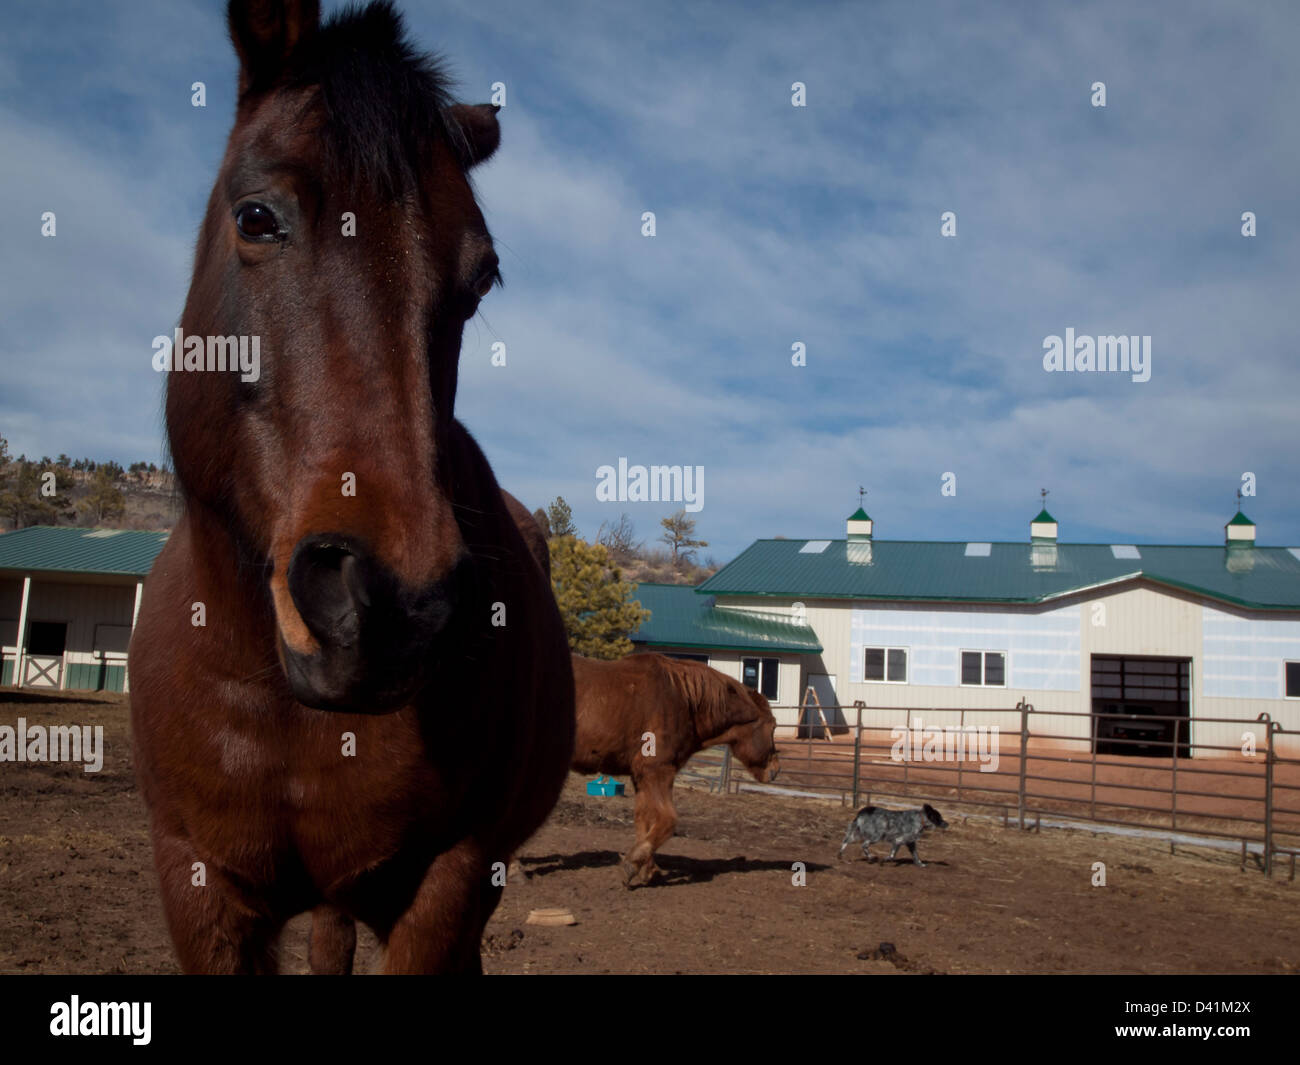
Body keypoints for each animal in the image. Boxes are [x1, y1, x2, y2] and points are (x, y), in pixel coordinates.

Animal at [570, 653, 781, 886]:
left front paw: (647, 869)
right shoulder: (658, 772)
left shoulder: (642, 777)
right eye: (773, 726)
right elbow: (667, 820)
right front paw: (633, 864)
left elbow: (645, 820)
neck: (683, 701)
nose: (775, 770)